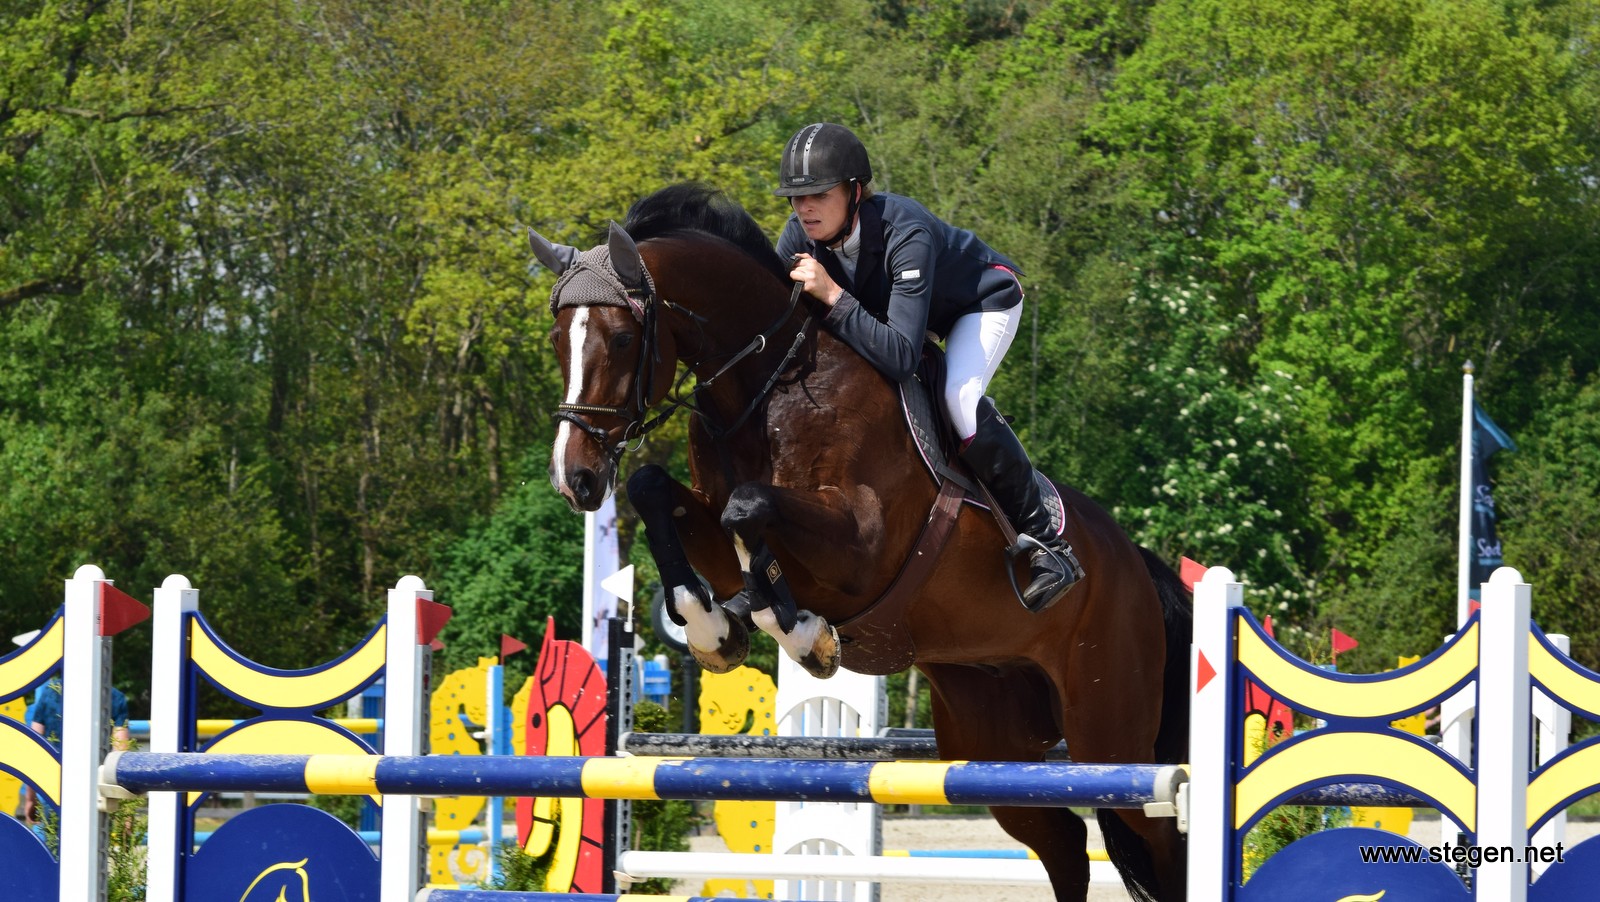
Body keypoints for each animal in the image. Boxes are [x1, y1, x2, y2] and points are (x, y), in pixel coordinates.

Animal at [534, 183, 1192, 902]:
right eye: (556, 340)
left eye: (624, 337)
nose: (575, 479)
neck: (765, 387)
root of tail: (1139, 564)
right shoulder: (714, 523)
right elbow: (661, 490)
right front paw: (714, 625)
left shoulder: (863, 547)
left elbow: (750, 508)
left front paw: (801, 634)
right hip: (993, 734)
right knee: (1064, 843)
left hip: (1109, 728)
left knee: (1160, 835)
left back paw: (1049, 564)